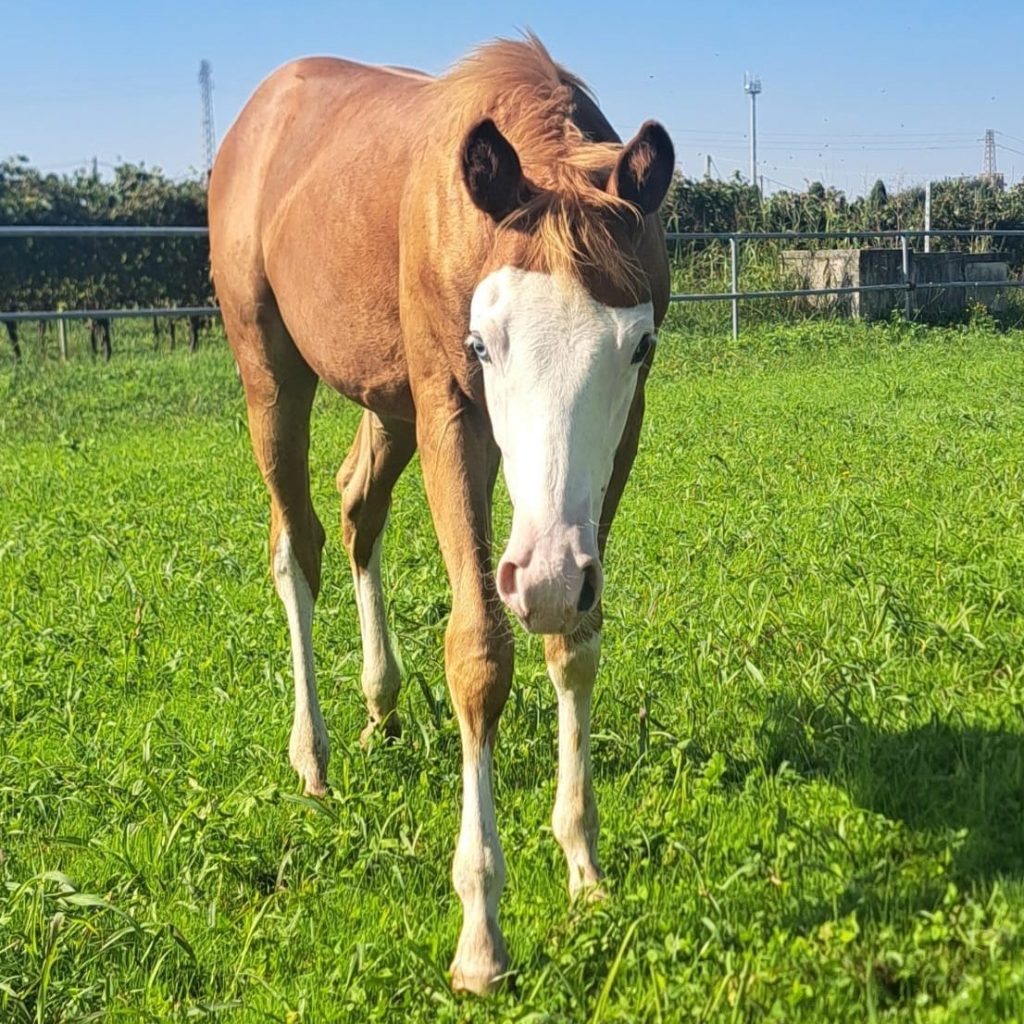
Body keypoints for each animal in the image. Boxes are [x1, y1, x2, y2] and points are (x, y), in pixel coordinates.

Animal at [208, 34, 673, 993]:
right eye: (482, 344)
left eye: (638, 345)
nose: (544, 577)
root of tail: (255, 119)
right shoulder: (450, 414)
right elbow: (479, 655)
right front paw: (481, 933)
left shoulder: (616, 451)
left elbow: (577, 643)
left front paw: (584, 865)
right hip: (274, 375)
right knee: (297, 547)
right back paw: (312, 758)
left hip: (388, 402)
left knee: (357, 510)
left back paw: (381, 706)